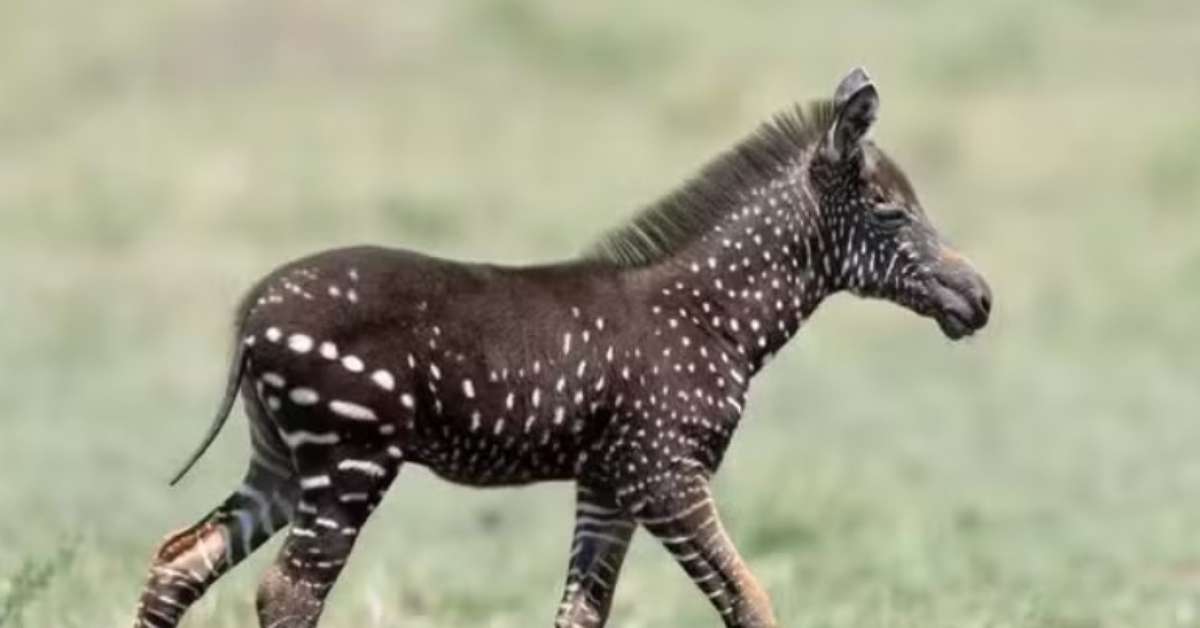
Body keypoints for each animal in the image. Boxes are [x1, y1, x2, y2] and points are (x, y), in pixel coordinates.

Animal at [132, 67, 991, 628]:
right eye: (889, 212)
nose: (980, 300)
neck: (712, 316)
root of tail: (252, 312)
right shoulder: (665, 475)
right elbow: (752, 600)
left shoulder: (608, 483)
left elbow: (581, 615)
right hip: (348, 462)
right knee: (287, 595)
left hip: (283, 464)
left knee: (179, 559)